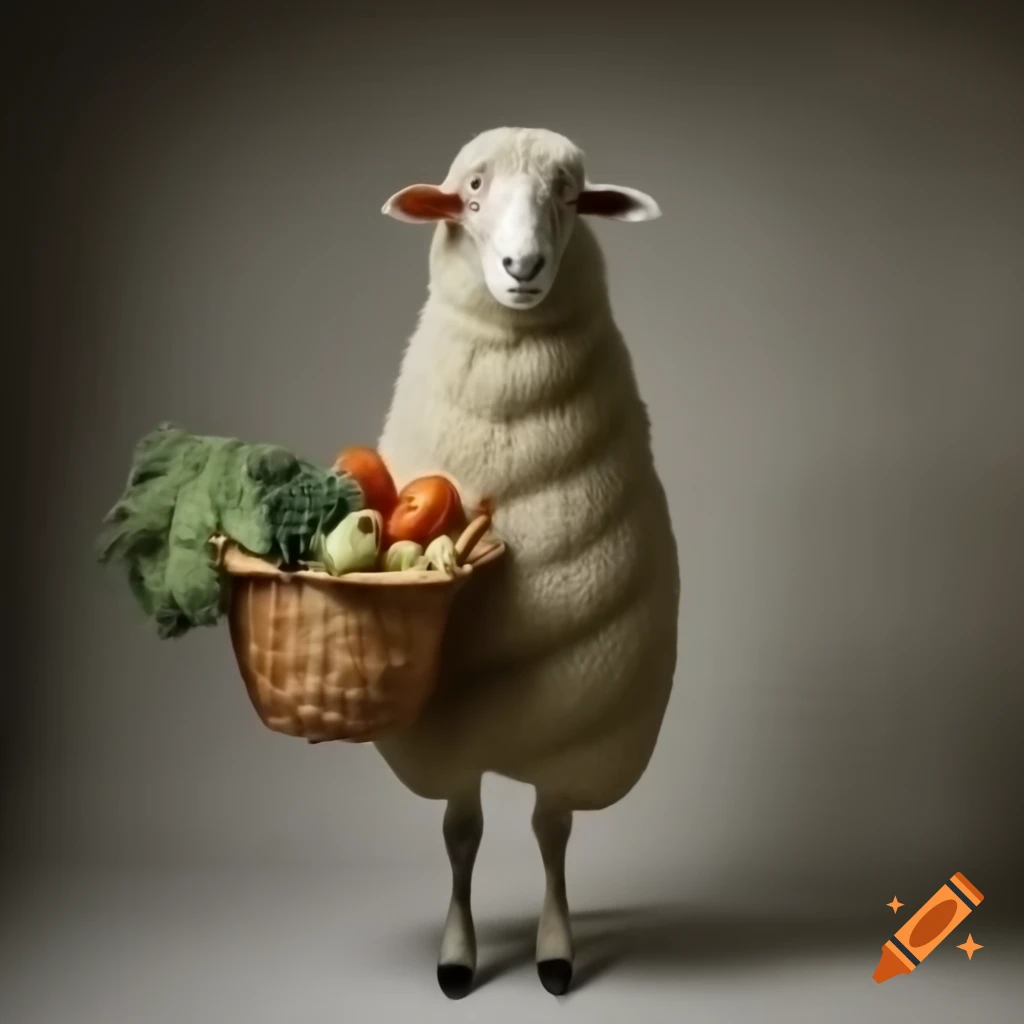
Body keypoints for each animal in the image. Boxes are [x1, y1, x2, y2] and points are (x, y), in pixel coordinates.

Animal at [373, 126, 679, 998]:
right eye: (472, 193)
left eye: (569, 196)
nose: (523, 265)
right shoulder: (449, 741)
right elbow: (461, 832)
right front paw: (456, 960)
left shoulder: (576, 730)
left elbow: (546, 832)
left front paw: (553, 953)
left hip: (575, 735)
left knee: (551, 828)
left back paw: (555, 951)